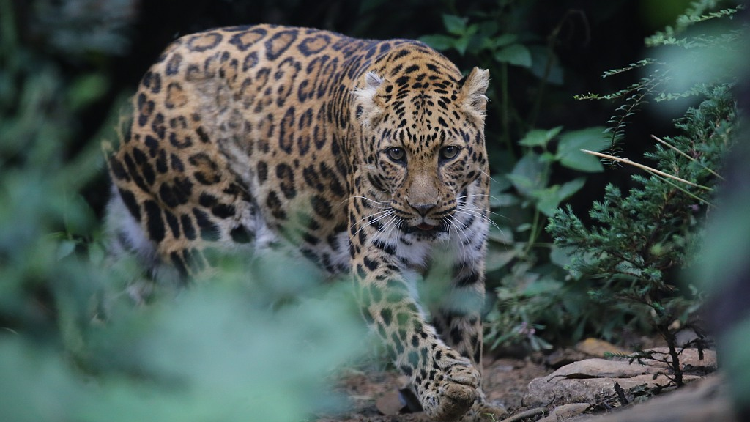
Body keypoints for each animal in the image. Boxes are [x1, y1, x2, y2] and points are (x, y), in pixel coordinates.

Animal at [104, 24, 500, 421]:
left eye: (449, 153)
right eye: (396, 154)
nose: (424, 208)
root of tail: (145, 80)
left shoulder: (462, 259)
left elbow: (465, 330)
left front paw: (477, 402)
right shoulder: (376, 259)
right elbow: (407, 328)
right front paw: (445, 387)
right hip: (211, 231)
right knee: (211, 324)